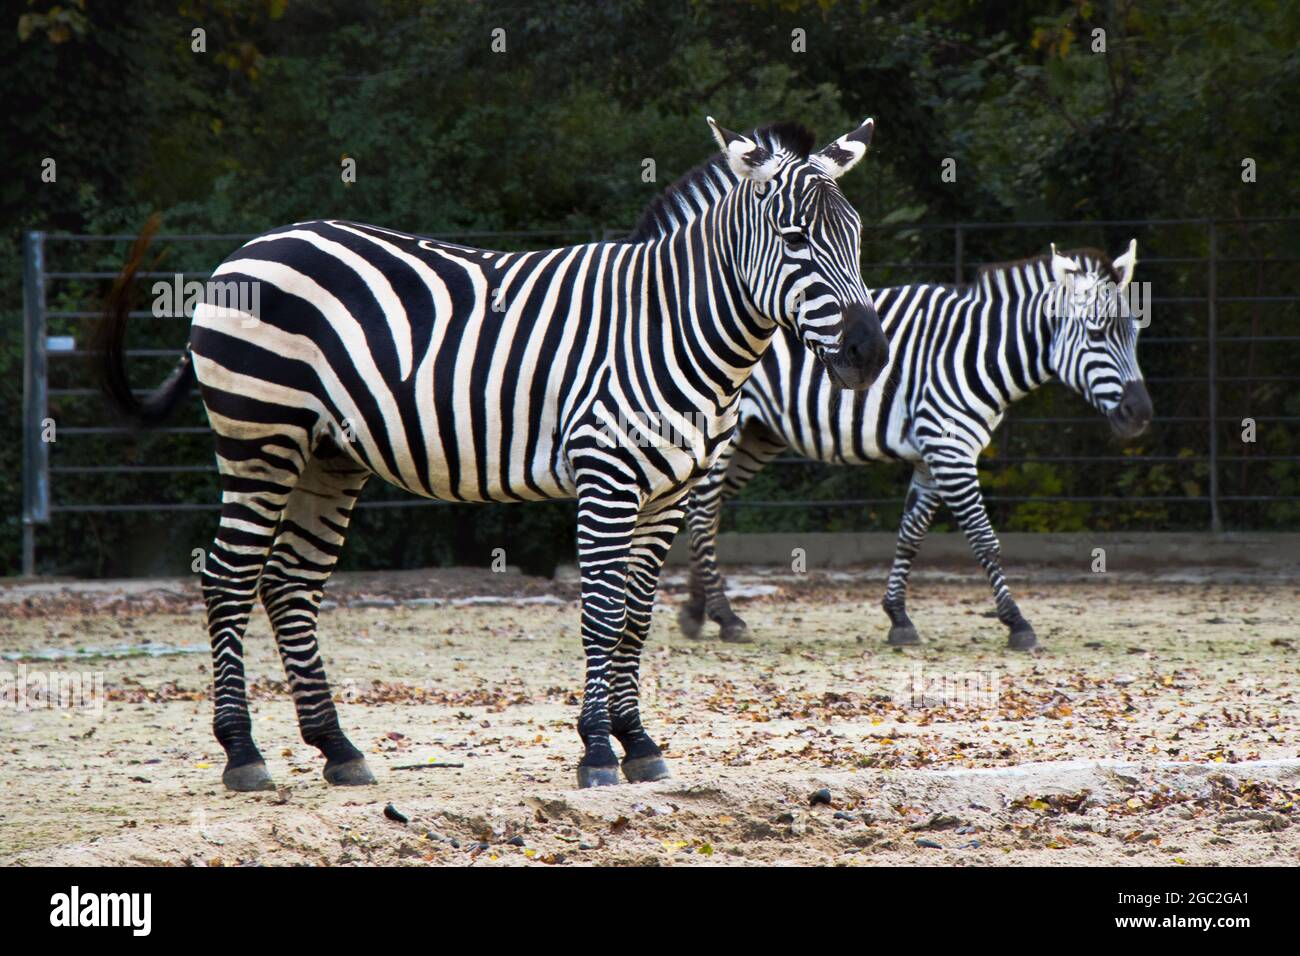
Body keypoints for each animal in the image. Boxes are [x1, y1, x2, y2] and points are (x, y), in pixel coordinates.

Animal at [96, 117, 889, 790]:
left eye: (854, 236)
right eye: (793, 237)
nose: (869, 354)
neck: (670, 324)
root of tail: (252, 247)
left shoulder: (668, 492)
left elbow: (636, 617)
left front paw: (639, 743)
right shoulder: (607, 475)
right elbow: (602, 613)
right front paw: (597, 752)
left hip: (328, 454)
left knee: (289, 583)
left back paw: (338, 749)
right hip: (261, 438)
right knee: (228, 578)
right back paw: (243, 753)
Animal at [679, 242, 1153, 650]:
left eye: (1134, 333)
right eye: (1095, 333)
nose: (1141, 413)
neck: (977, 351)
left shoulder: (932, 457)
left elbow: (910, 535)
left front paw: (898, 617)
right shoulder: (950, 449)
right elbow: (984, 539)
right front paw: (1017, 622)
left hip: (757, 436)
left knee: (706, 509)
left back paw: (697, 611)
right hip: (725, 433)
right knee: (702, 512)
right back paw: (724, 616)